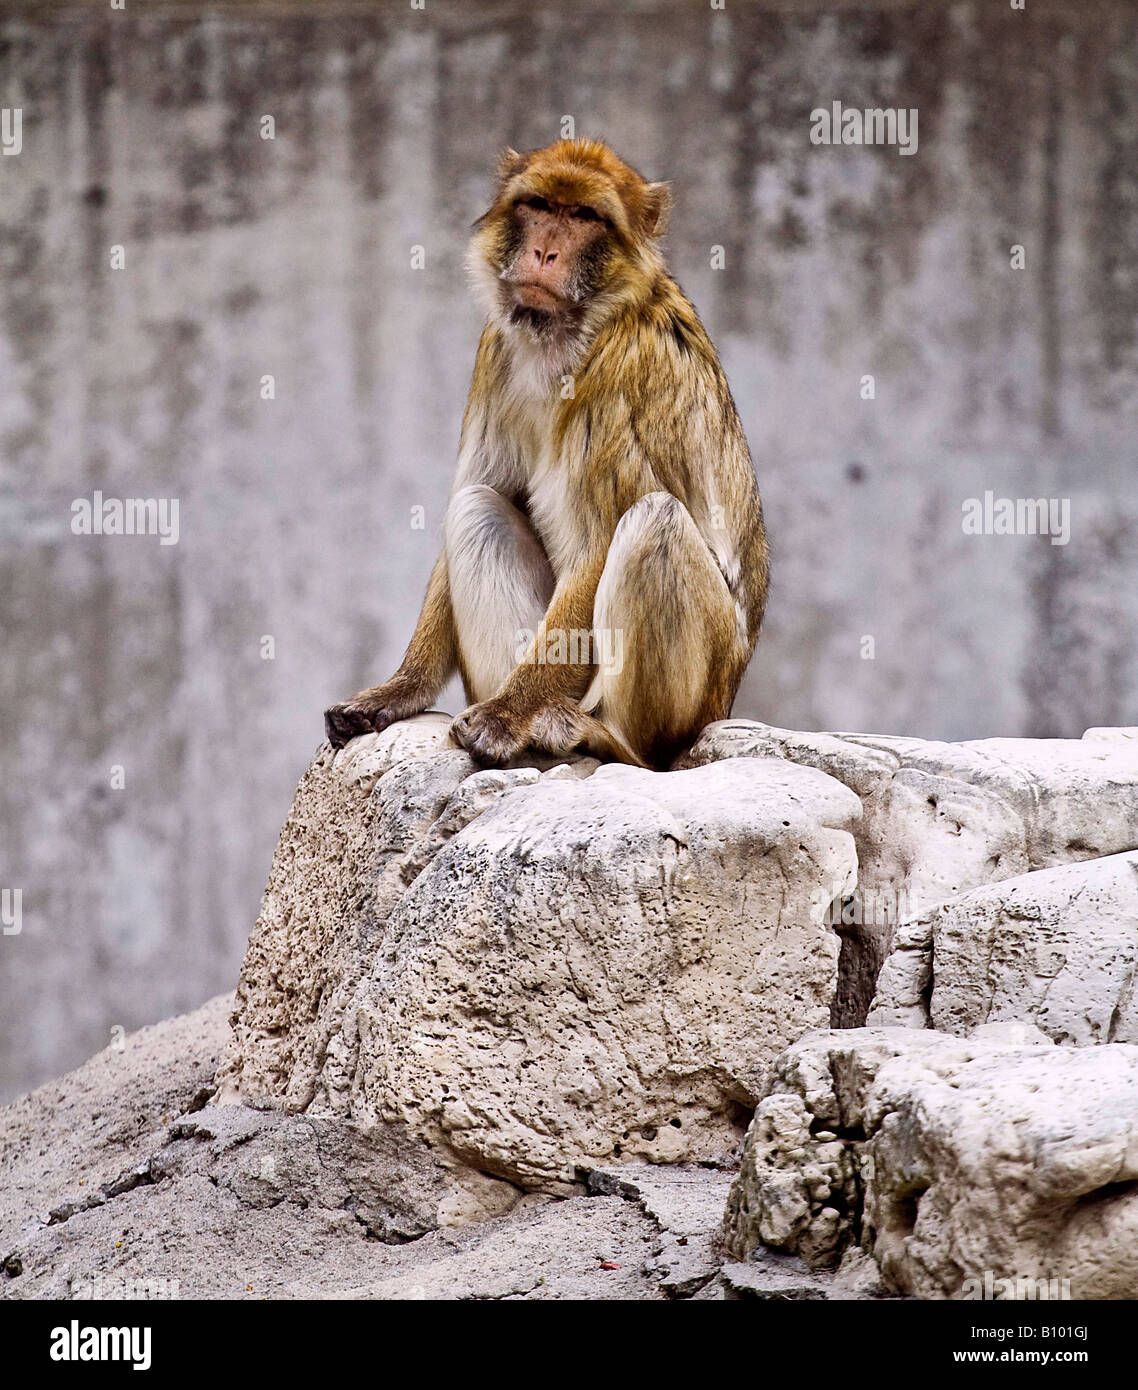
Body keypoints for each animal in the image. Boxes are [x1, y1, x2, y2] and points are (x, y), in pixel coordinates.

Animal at [324, 138, 769, 771]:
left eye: (584, 216)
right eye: (539, 206)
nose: (544, 251)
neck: (562, 338)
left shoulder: (618, 375)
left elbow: (598, 543)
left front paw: (507, 715)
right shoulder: (495, 350)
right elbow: (479, 495)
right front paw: (399, 690)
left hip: (694, 699)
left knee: (654, 521)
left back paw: (603, 738)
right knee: (478, 509)